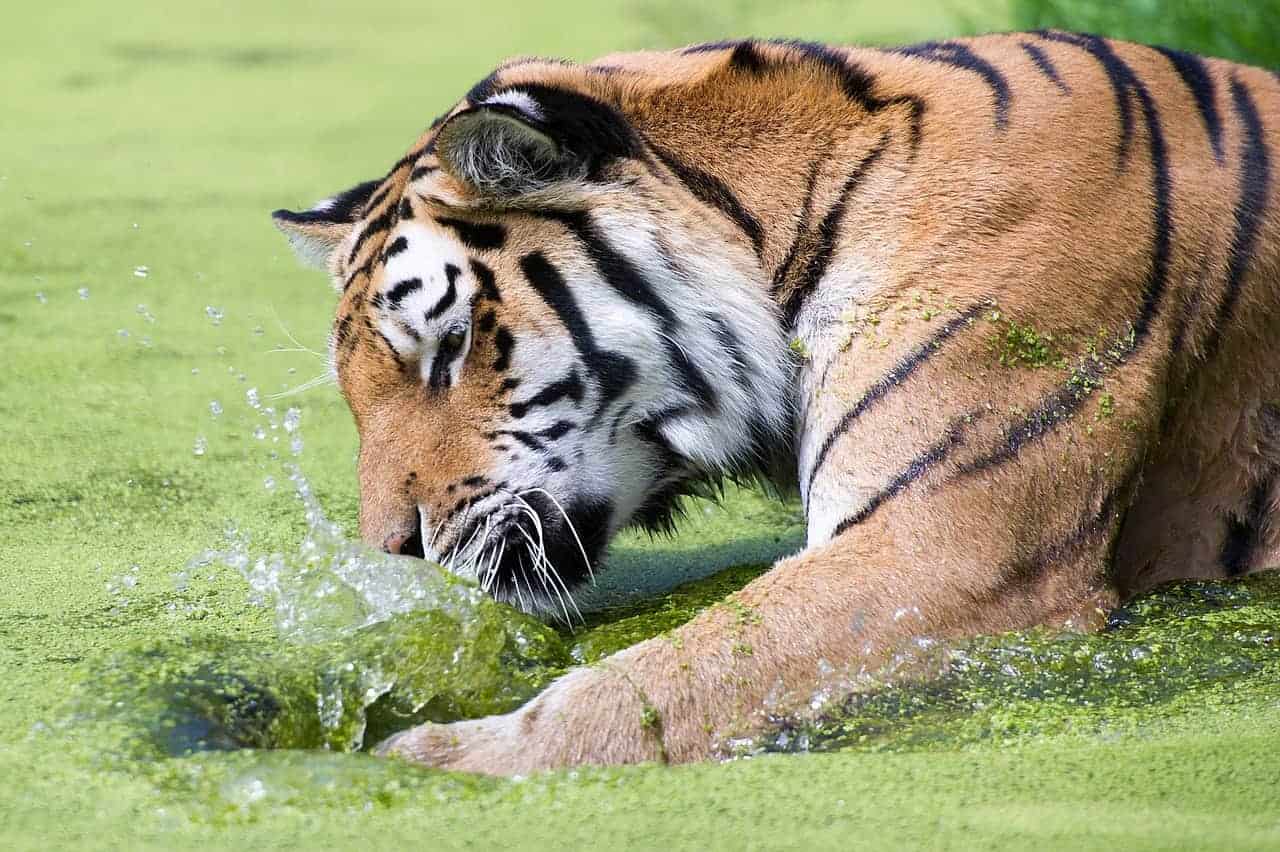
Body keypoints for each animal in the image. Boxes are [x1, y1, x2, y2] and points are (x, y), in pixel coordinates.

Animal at [272, 32, 1280, 775]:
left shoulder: (951, 547)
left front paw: (432, 764)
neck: (783, 222)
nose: (392, 552)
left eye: (450, 349)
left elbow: (669, 677)